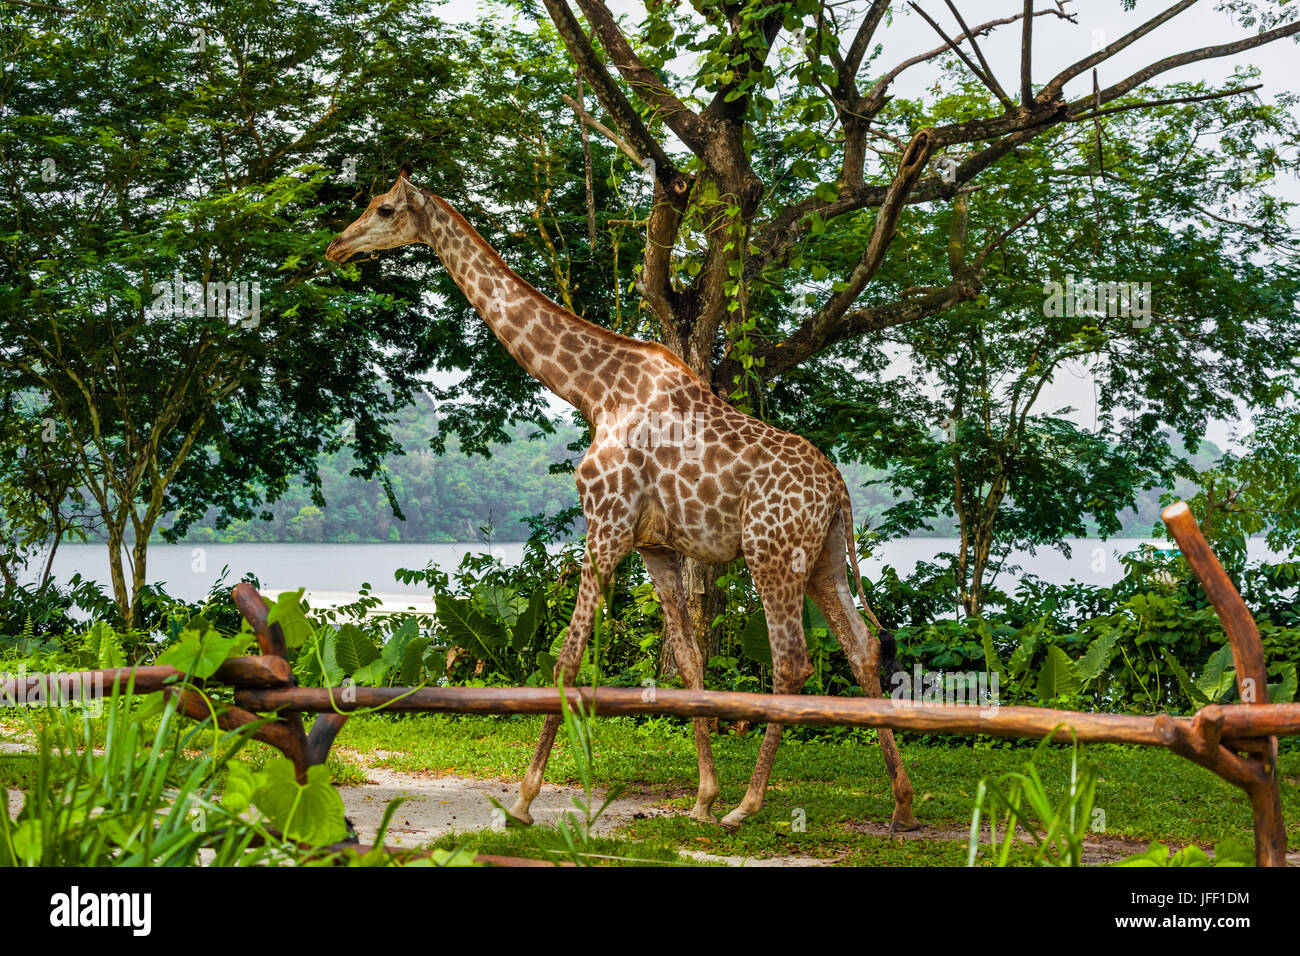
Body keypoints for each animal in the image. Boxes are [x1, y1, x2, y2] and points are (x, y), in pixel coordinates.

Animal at [325, 167, 919, 831]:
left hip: (773, 553)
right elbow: (689, 664)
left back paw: (750, 806)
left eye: (384, 208)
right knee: (862, 651)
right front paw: (702, 798)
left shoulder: (605, 524)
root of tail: (838, 489)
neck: (594, 390)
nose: (336, 247)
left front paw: (524, 800)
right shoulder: (656, 546)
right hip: (824, 558)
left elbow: (566, 658)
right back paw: (899, 804)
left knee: (792, 661)